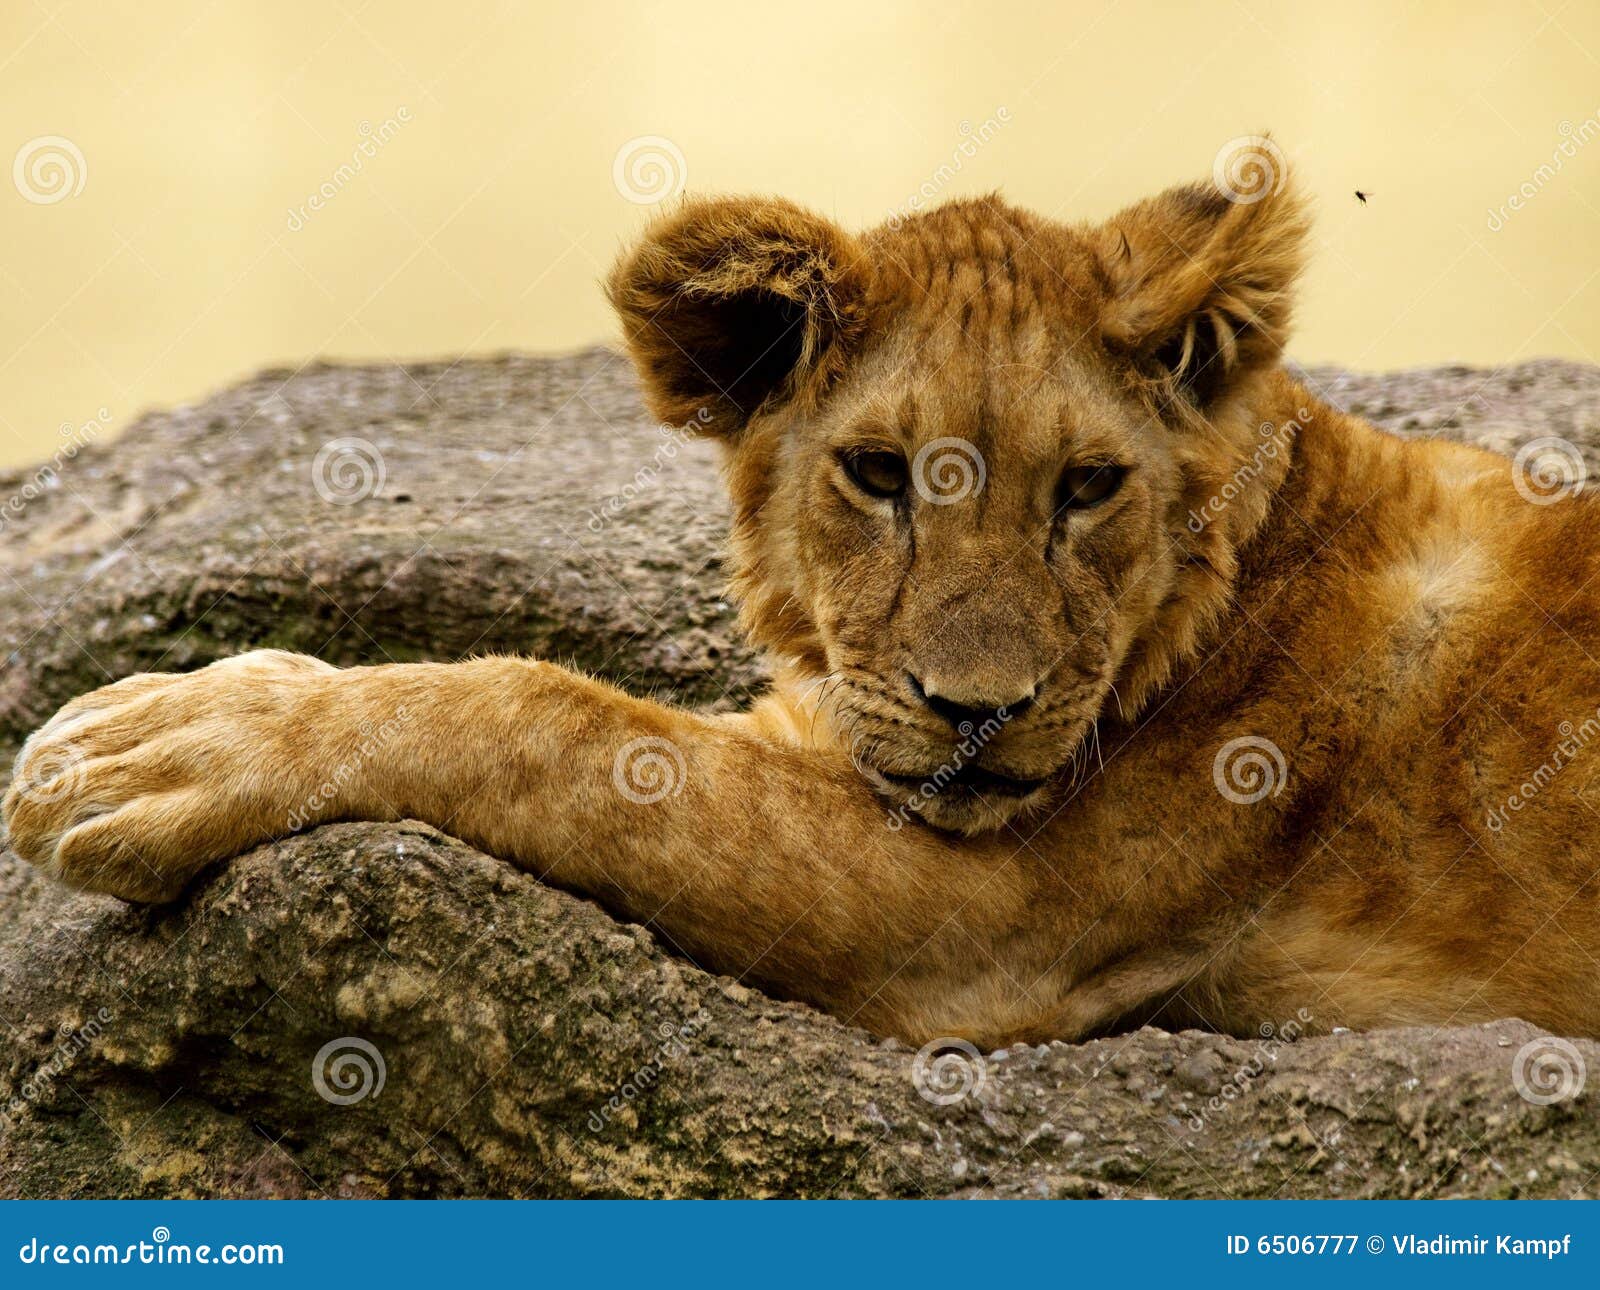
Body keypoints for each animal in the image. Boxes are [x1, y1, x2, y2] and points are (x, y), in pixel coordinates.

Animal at [8, 147, 1600, 1049]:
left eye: (1088, 488)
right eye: (880, 474)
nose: (979, 714)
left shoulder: (981, 920)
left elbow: (553, 714)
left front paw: (158, 751)